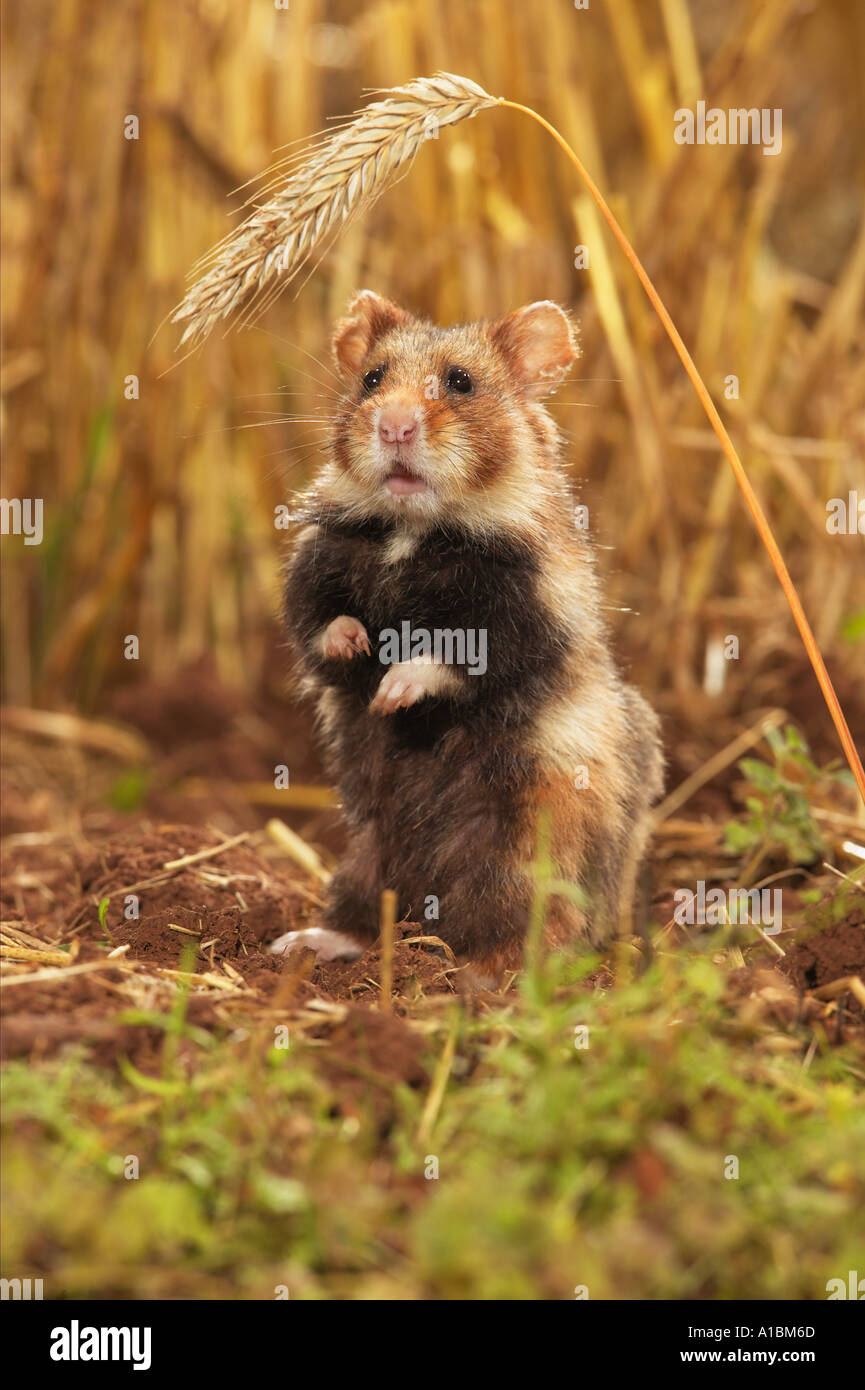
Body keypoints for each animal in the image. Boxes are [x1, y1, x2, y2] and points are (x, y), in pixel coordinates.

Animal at [269, 290, 664, 983]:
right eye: (371, 379)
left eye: (461, 382)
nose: (394, 426)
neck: (413, 527)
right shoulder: (314, 566)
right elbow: (319, 623)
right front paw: (358, 646)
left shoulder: (526, 612)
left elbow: (455, 654)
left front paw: (392, 691)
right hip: (367, 846)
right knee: (362, 908)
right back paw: (303, 943)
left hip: (521, 851)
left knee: (526, 926)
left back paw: (477, 977)